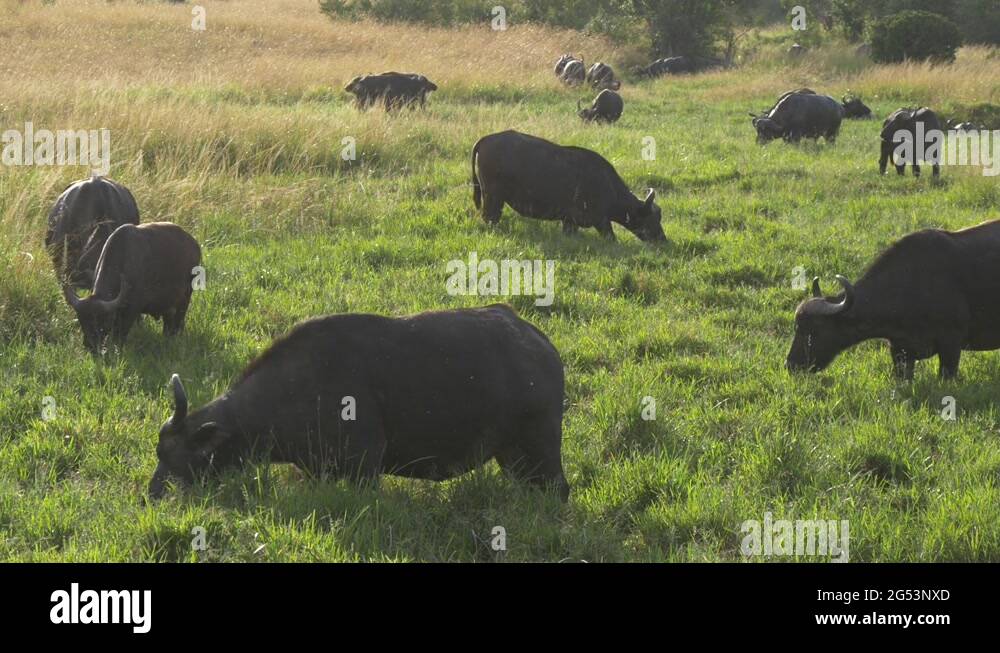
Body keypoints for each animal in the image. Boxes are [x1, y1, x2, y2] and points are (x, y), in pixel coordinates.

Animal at [63, 222, 201, 353]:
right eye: (82, 321)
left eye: (102, 322)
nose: (90, 345)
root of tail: (194, 245)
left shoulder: (132, 310)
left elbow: (120, 336)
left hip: (185, 299)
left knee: (178, 323)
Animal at [148, 305, 569, 501]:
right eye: (159, 454)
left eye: (182, 459)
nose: (153, 495)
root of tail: (540, 343)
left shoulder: (364, 468)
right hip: (513, 457)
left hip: (542, 452)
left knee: (560, 491)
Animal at [471, 130, 665, 242]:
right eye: (652, 219)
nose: (663, 240)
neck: (608, 186)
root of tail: (486, 139)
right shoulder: (601, 221)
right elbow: (611, 237)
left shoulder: (569, 222)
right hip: (493, 198)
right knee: (490, 217)